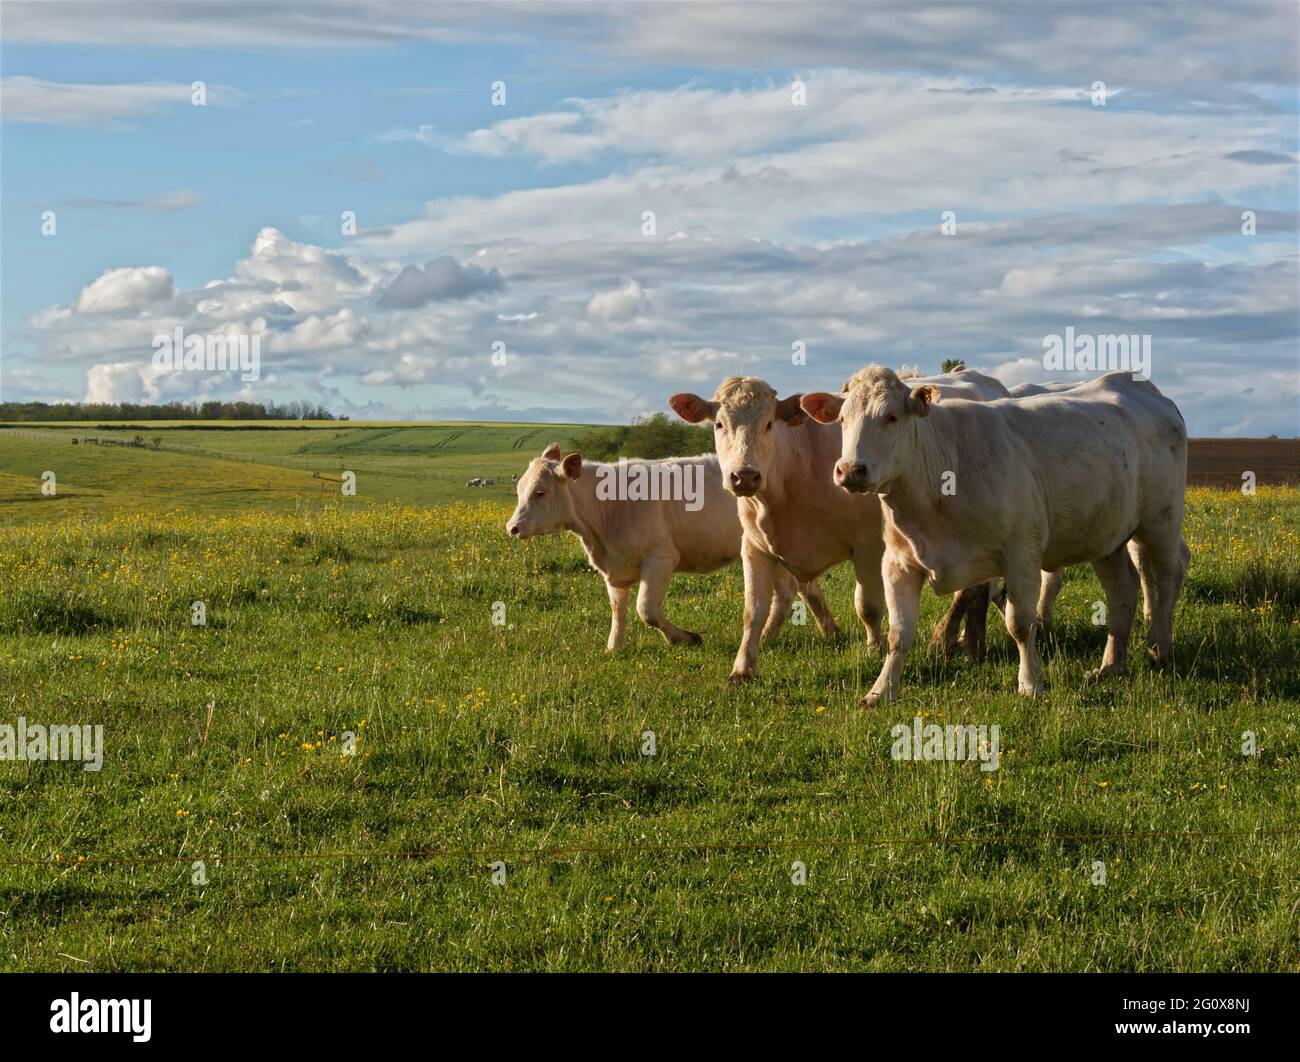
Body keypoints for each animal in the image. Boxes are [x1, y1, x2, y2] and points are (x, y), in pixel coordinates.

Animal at [506, 443, 836, 651]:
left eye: (540, 492)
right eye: (519, 489)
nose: (512, 528)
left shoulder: (660, 558)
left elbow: (647, 610)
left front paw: (685, 638)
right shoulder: (614, 567)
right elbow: (618, 608)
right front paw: (614, 647)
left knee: (789, 591)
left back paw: (768, 636)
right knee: (803, 588)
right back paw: (827, 631)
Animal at [669, 377, 887, 684]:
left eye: (769, 423)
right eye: (719, 424)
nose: (744, 476)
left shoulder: (868, 544)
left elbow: (868, 605)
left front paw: (874, 651)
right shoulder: (755, 546)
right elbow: (754, 610)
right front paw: (743, 667)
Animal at [801, 367, 1189, 705]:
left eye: (891, 417)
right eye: (842, 420)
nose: (850, 469)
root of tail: (1142, 388)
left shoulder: (1021, 554)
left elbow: (1020, 623)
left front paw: (1030, 683)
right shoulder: (898, 563)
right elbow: (899, 633)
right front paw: (881, 691)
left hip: (1161, 521)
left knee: (1168, 575)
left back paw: (1161, 648)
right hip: (1105, 533)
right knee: (1122, 590)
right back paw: (1111, 665)